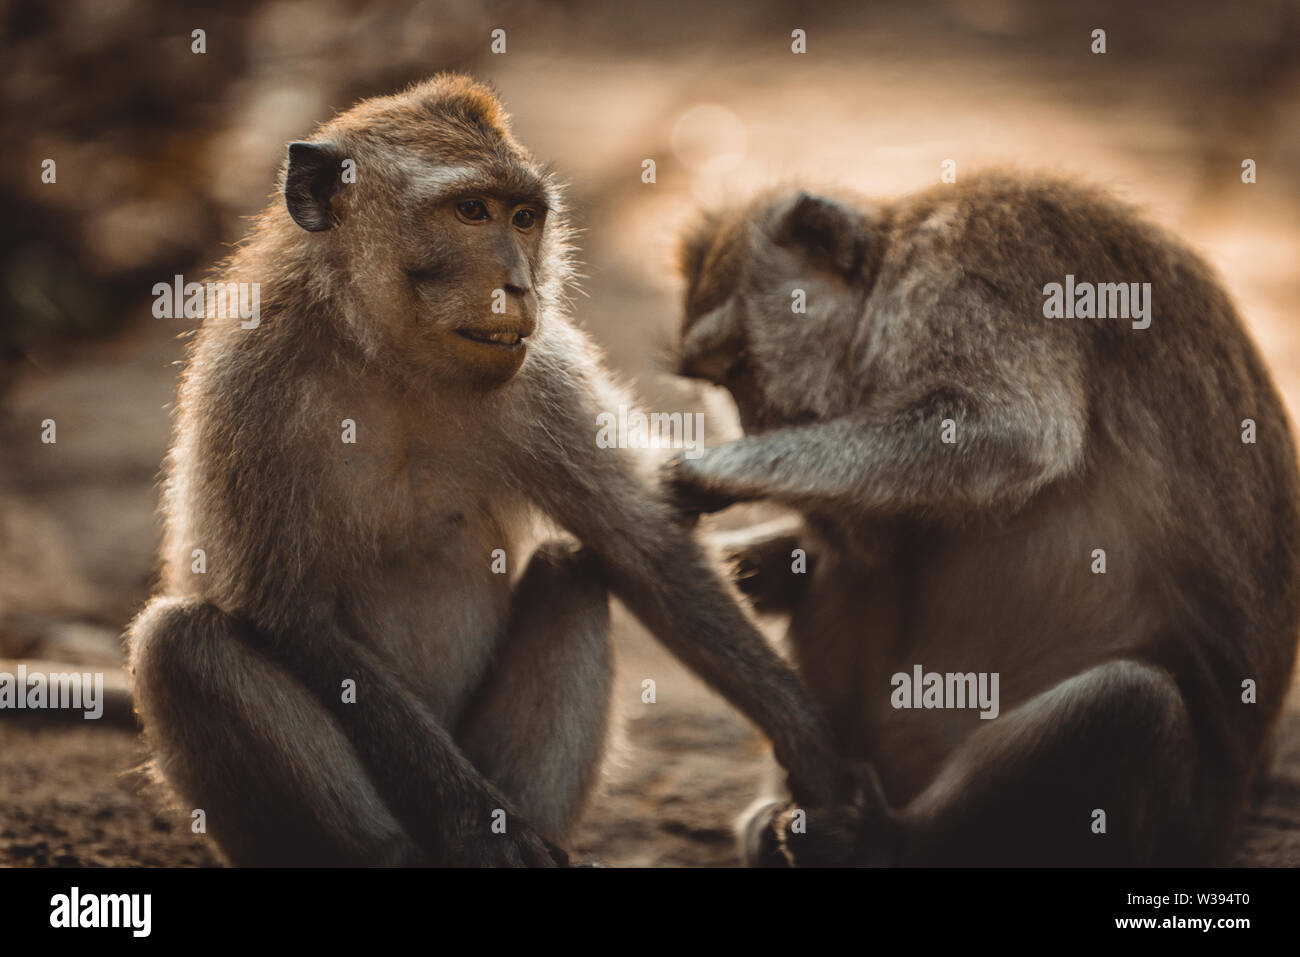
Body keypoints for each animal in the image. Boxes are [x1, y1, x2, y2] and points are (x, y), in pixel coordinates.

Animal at [125, 74, 863, 867]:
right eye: (470, 211)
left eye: (524, 217)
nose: (518, 285)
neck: (386, 358)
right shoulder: (249, 385)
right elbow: (292, 617)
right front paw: (476, 822)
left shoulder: (542, 373)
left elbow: (647, 551)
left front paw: (814, 753)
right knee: (182, 644)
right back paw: (396, 852)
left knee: (575, 567)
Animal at [669, 172, 1300, 866]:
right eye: (721, 384)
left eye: (739, 366)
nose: (752, 425)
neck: (888, 268)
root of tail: (1232, 815)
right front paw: (752, 562)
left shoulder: (968, 268)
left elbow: (1006, 434)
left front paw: (719, 471)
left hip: (1171, 823)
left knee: (1128, 705)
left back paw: (882, 840)